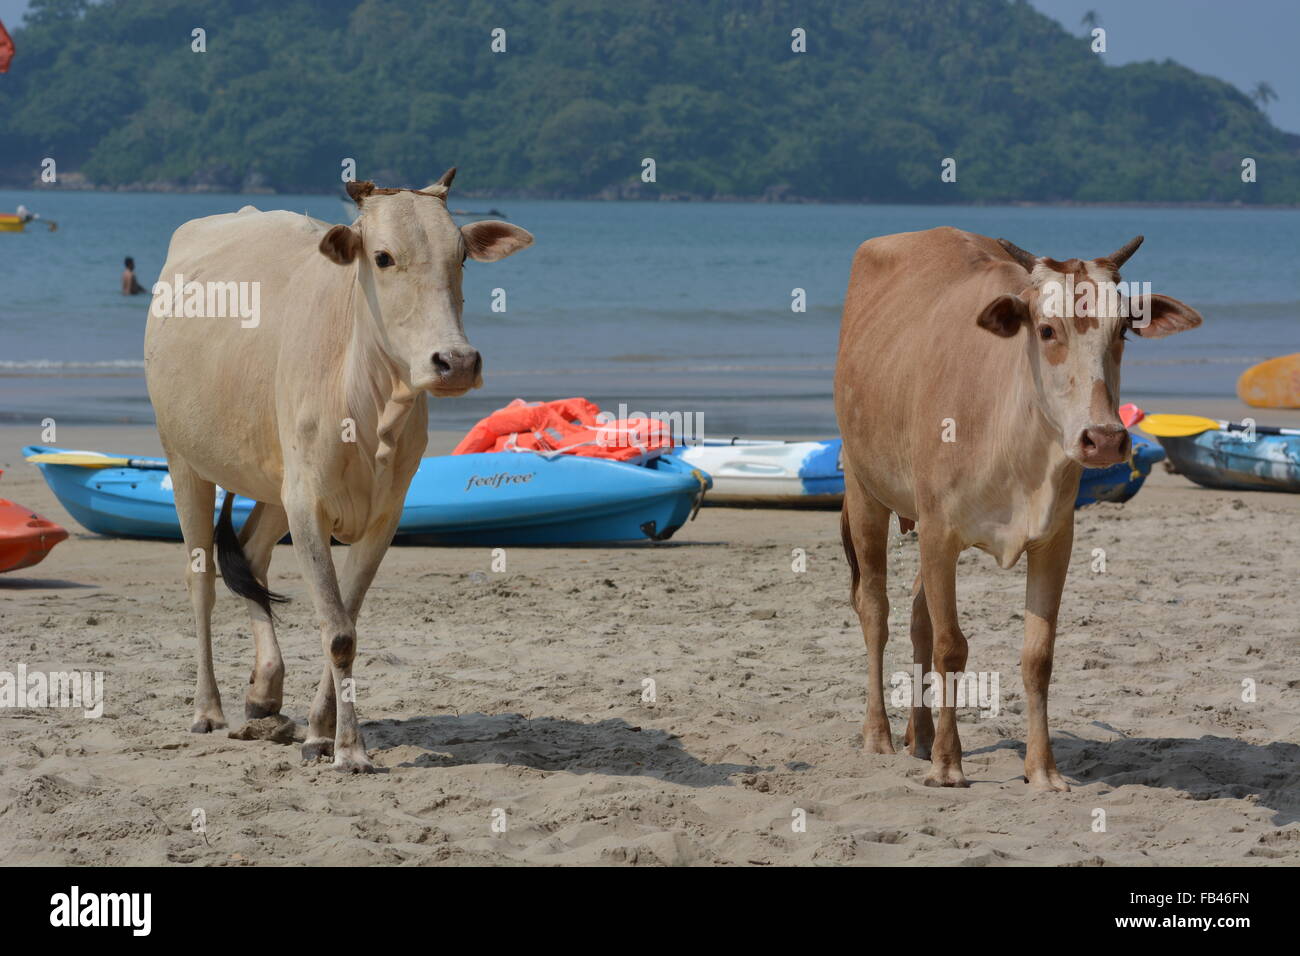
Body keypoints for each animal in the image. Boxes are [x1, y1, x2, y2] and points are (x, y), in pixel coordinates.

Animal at [144, 170, 532, 772]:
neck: (371, 409)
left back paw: (265, 693)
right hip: (185, 459)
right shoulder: (308, 504)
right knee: (201, 578)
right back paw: (208, 710)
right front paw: (349, 749)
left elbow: (346, 619)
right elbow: (338, 631)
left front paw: (322, 731)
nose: (457, 362)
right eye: (383, 257)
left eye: (462, 255)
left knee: (249, 557)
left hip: (272, 484)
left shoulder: (382, 515)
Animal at [834, 227, 1202, 791]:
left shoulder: (1055, 540)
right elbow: (951, 646)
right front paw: (949, 764)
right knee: (876, 608)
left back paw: (919, 735)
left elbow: (1037, 657)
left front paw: (1042, 769)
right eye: (1047, 330)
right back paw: (879, 734)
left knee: (918, 616)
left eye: (1124, 331)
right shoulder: (940, 531)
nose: (1104, 438)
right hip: (864, 489)